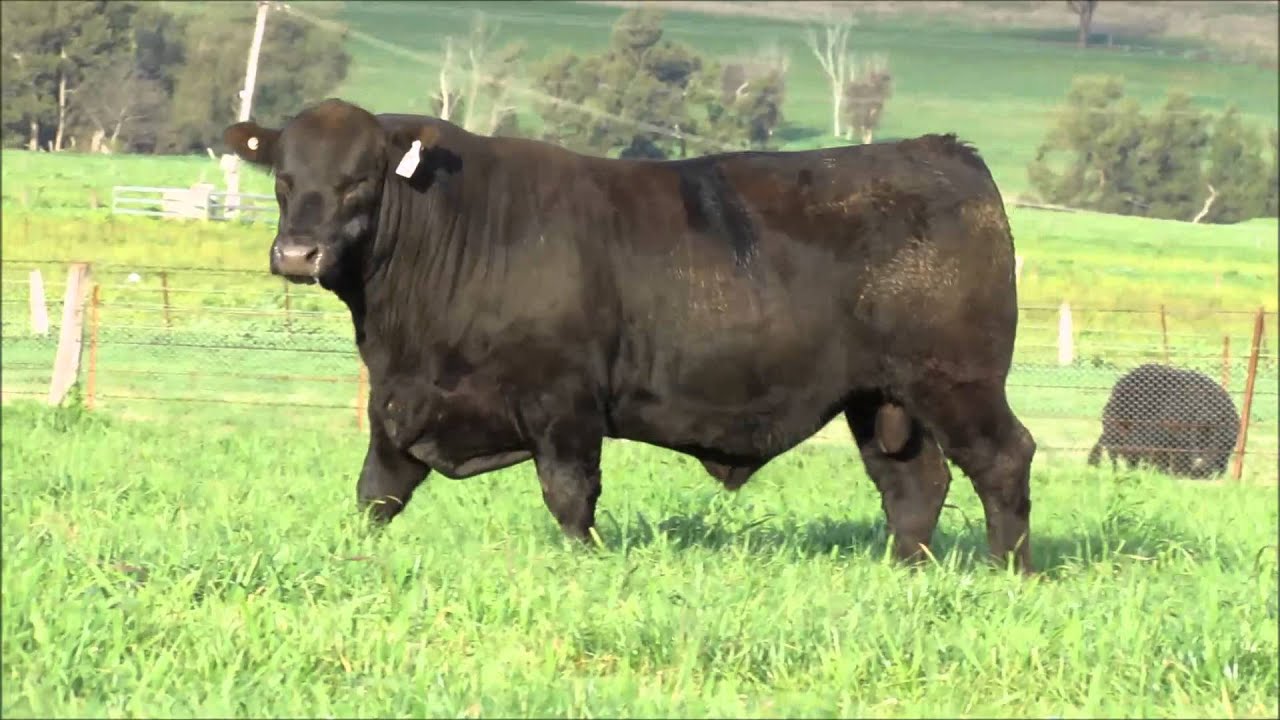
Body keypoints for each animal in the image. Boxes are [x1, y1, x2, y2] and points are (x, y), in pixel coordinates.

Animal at [222, 97, 1038, 573]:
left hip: (958, 380)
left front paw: (585, 565)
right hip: (882, 400)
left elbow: (569, 497)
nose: (296, 254)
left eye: (359, 179)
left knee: (1002, 460)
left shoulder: (563, 405)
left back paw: (1009, 572)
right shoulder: (399, 403)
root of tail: (938, 149)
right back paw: (907, 571)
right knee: (913, 484)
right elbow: (376, 494)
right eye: (283, 178)